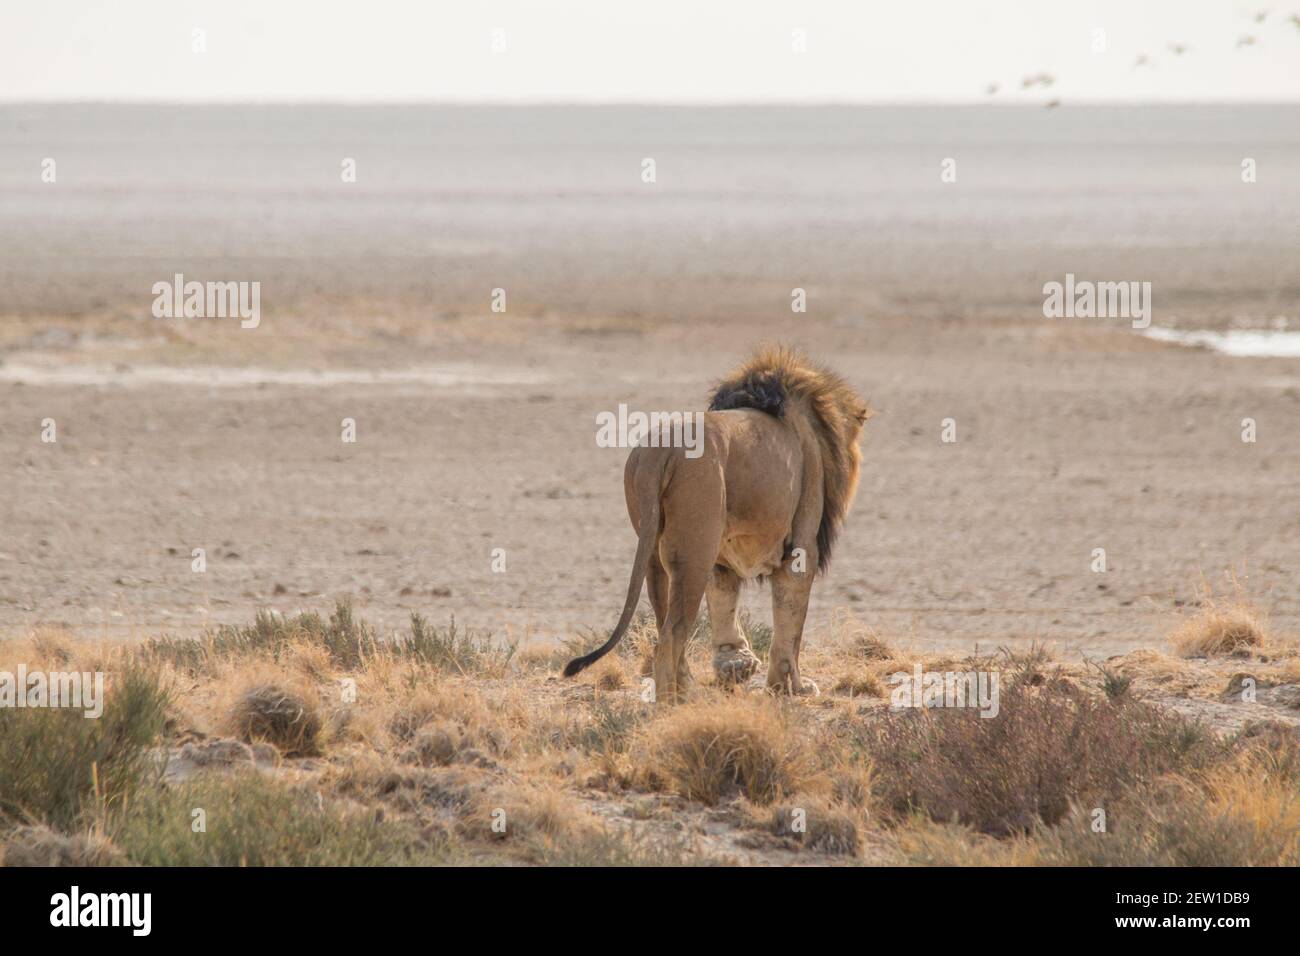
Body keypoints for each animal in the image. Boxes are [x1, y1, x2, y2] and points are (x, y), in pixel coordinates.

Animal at [563, 345, 870, 703]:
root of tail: (659, 452)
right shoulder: (801, 546)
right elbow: (790, 619)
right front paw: (789, 686)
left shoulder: (723, 553)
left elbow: (724, 598)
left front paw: (736, 663)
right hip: (694, 551)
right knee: (670, 636)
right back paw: (672, 704)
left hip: (658, 551)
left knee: (663, 622)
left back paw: (687, 691)